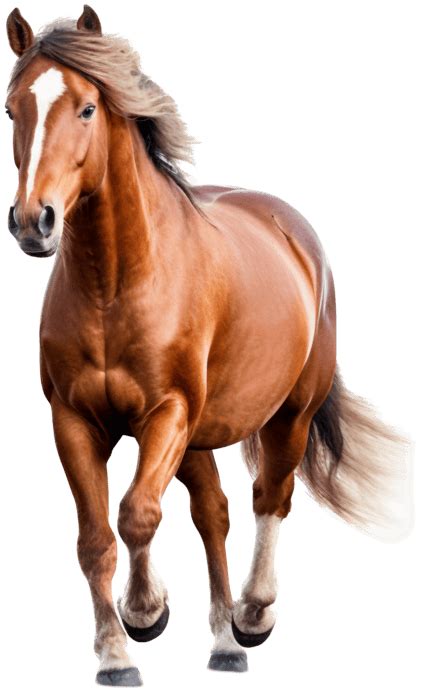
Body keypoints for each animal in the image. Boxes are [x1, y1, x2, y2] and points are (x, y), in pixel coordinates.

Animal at [5, 5, 410, 687]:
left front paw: (144, 612)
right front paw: (116, 652)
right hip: (197, 436)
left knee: (269, 498)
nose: (34, 221)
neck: (116, 285)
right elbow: (97, 538)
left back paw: (252, 614)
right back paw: (223, 642)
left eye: (86, 108)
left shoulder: (167, 412)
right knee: (213, 513)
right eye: (13, 110)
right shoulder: (74, 420)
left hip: (288, 415)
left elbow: (137, 513)